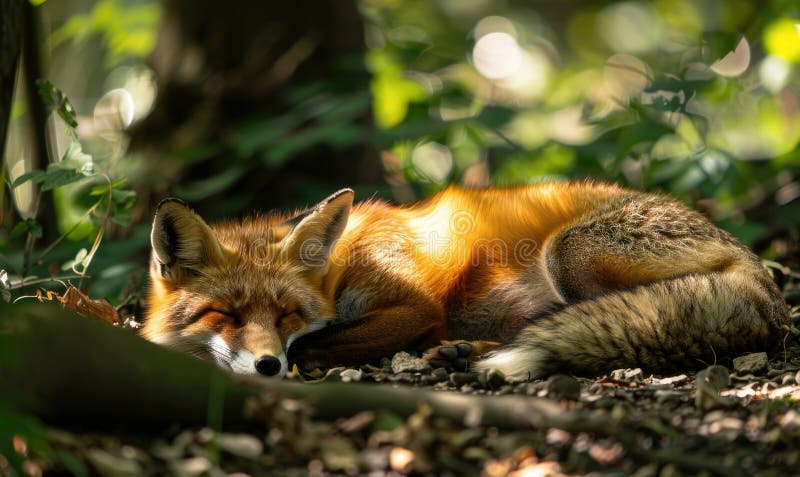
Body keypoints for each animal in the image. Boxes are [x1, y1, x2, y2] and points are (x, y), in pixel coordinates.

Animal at [142, 182, 790, 379]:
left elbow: (321, 343)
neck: (341, 264)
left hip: (568, 252)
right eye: (225, 315)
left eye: (286, 316)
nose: (267, 366)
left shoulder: (412, 308)